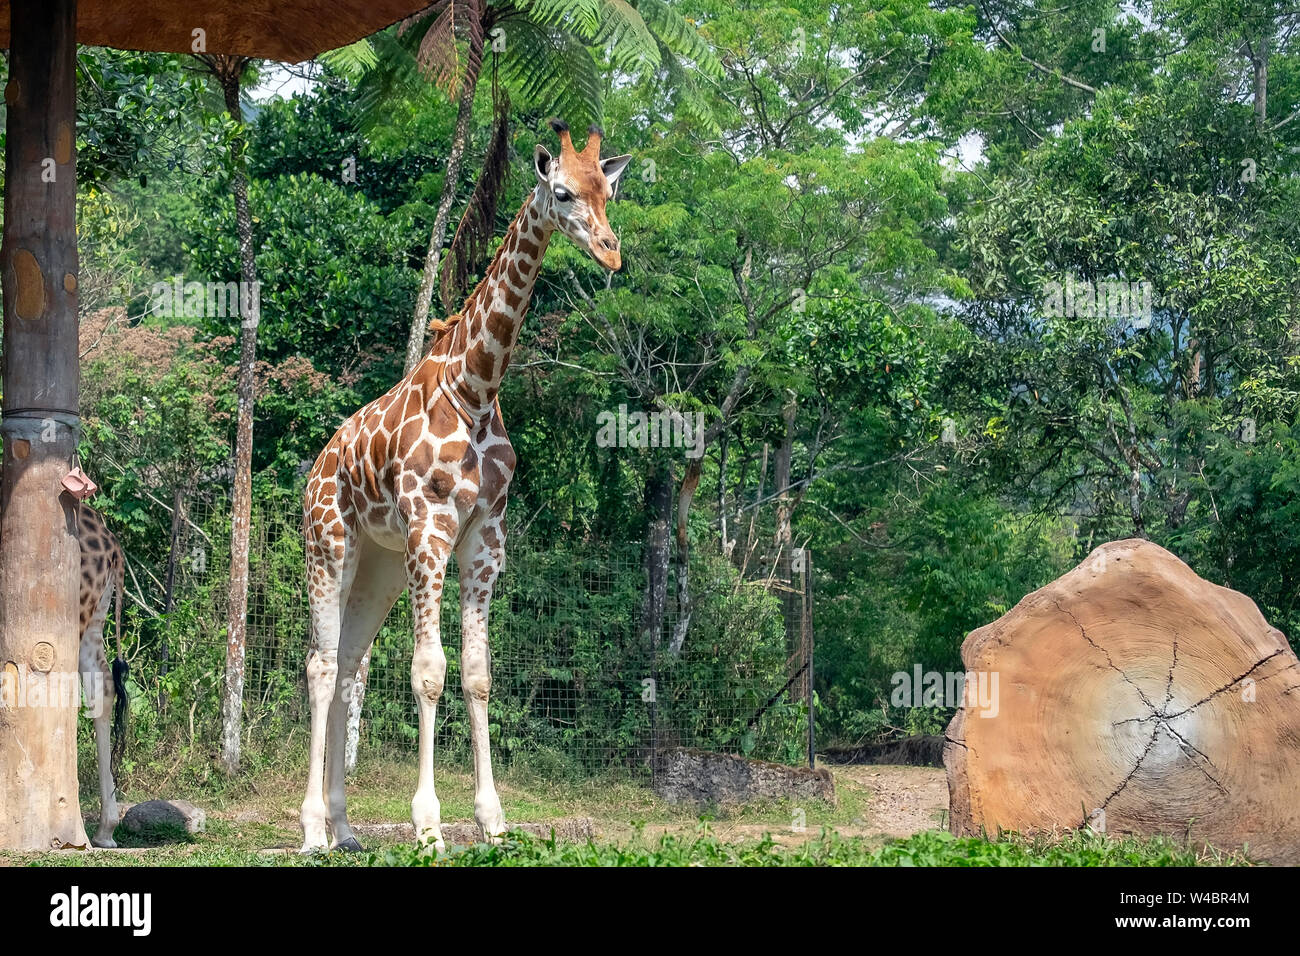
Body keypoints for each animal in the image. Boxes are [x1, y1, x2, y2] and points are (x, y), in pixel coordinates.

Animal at [299, 120, 631, 852]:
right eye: (562, 192)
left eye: (609, 190)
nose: (611, 252)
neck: (475, 388)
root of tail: (316, 467)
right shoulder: (431, 529)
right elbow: (429, 672)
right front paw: (428, 825)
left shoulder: (485, 538)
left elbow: (477, 676)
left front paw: (492, 819)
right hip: (329, 544)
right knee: (321, 667)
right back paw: (310, 830)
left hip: (380, 564)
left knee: (352, 666)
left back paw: (345, 828)